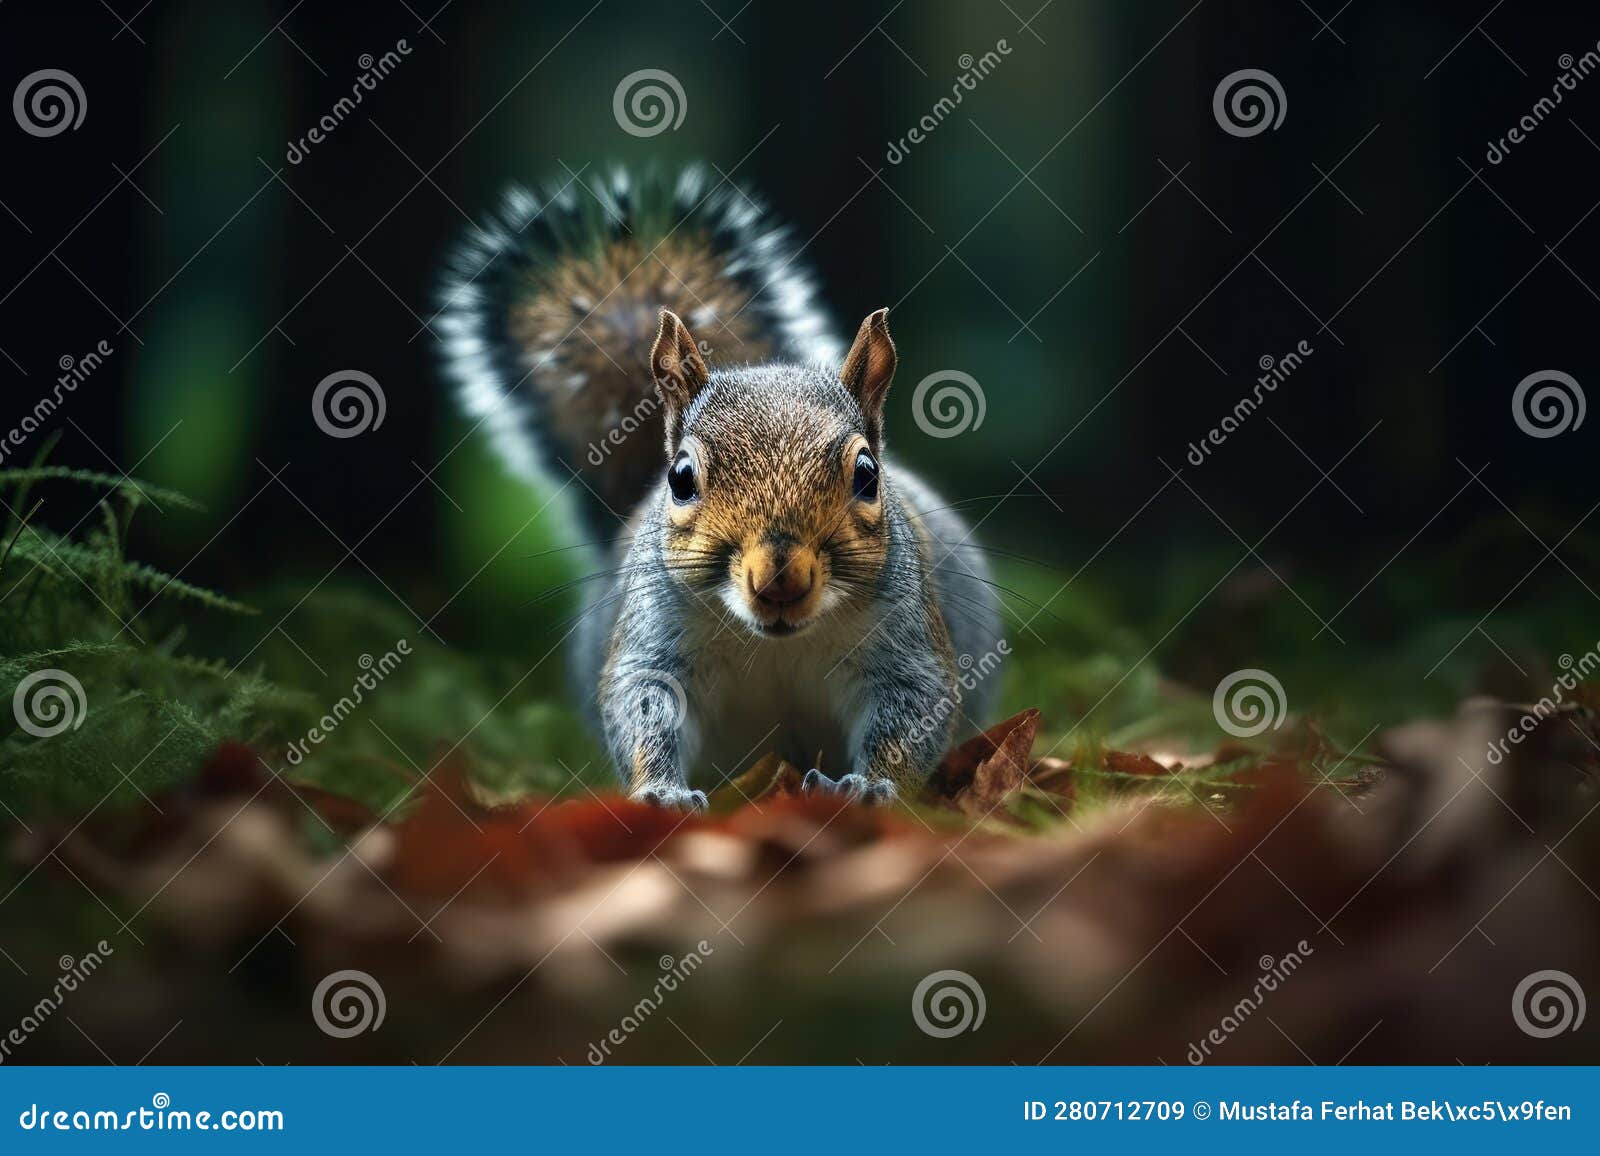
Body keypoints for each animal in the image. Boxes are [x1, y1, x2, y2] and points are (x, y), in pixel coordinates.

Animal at [439, 166, 1002, 809]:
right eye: (681, 480)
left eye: (867, 475)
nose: (780, 578)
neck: (776, 643)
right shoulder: (654, 638)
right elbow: (642, 706)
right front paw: (661, 793)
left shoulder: (905, 643)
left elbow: (911, 714)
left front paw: (864, 787)